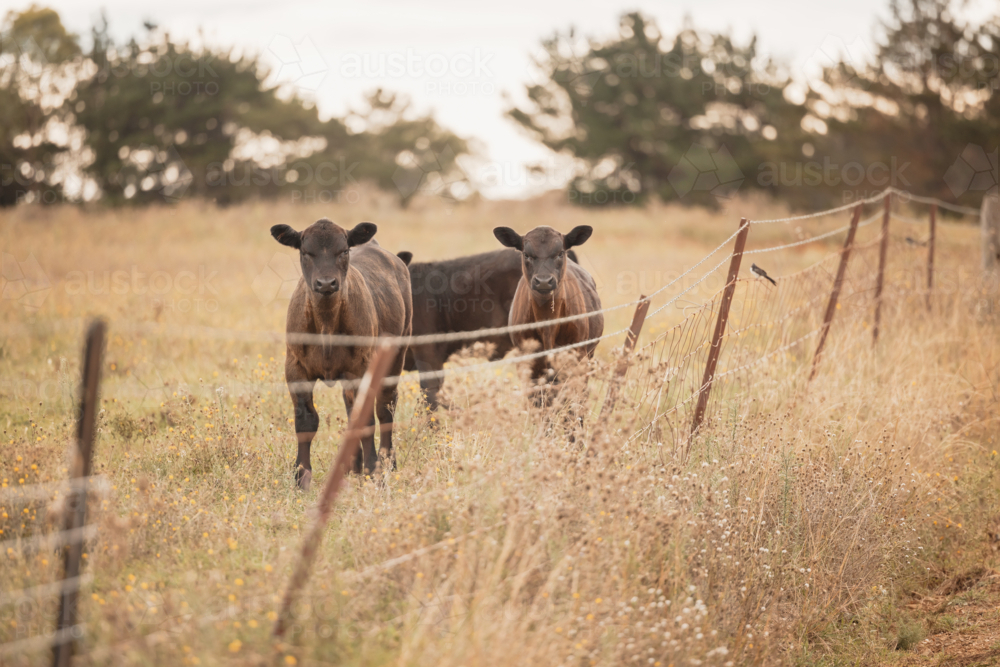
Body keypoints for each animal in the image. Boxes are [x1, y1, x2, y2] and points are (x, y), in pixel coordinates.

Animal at [270, 219, 412, 489]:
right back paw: (352, 466)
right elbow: (306, 420)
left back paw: (388, 462)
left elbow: (365, 420)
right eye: (306, 252)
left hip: (397, 352)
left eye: (343, 251)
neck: (326, 323)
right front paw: (301, 477)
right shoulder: (295, 367)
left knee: (385, 406)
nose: (326, 283)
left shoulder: (361, 367)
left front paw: (373, 471)